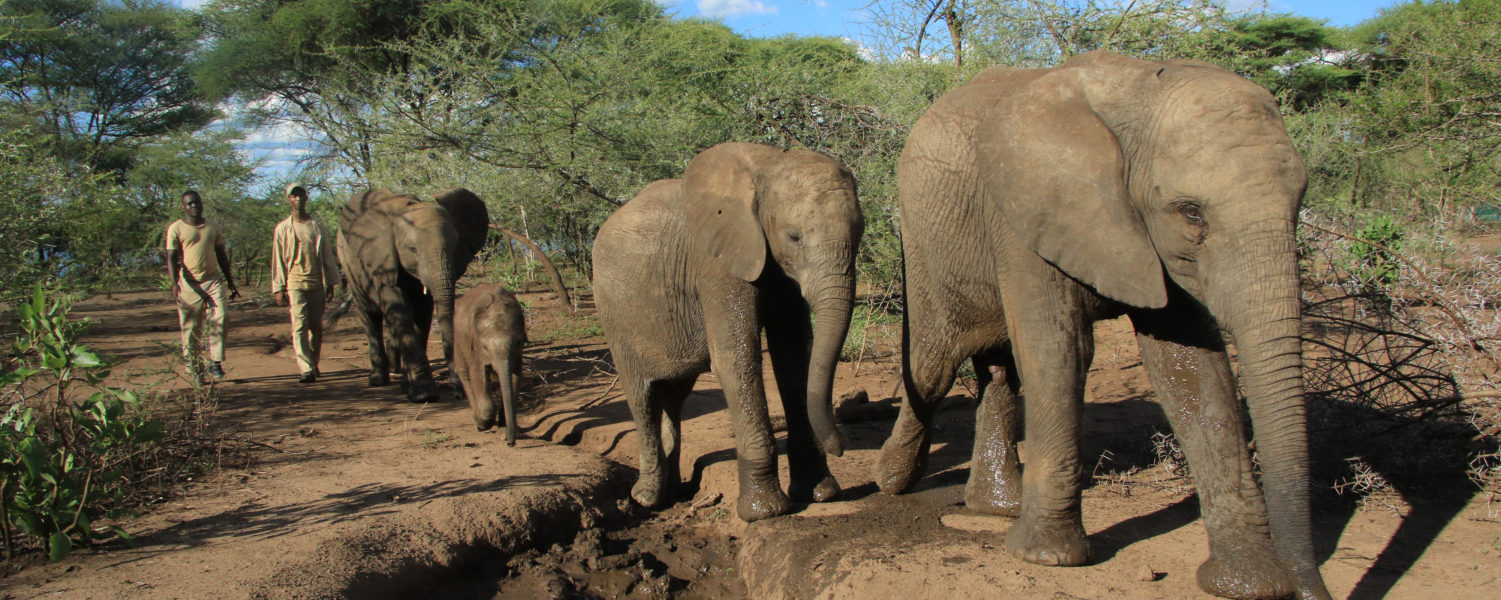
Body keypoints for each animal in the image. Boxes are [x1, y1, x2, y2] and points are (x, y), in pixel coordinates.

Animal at [337, 187, 489, 403]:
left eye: (455, 245)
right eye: (412, 249)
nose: (460, 394)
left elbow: (422, 313)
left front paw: (412, 389)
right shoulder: (383, 260)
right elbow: (399, 308)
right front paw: (424, 396)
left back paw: (401, 383)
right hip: (349, 268)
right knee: (369, 315)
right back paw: (377, 380)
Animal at [453, 282, 527, 445]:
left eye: (518, 343)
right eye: (485, 347)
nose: (511, 444)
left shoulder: (517, 354)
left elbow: (515, 377)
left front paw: (504, 432)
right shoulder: (475, 349)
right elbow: (478, 374)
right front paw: (486, 424)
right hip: (458, 341)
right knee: (464, 373)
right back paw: (478, 421)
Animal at [592, 142, 864, 522]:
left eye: (861, 235)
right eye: (793, 237)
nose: (840, 447)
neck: (769, 164)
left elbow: (795, 358)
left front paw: (821, 493)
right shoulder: (716, 263)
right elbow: (736, 359)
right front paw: (765, 512)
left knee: (673, 396)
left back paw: (674, 492)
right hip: (614, 315)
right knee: (642, 396)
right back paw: (647, 499)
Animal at [876, 51, 1330, 600]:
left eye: (1301, 199)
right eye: (1191, 213)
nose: (1308, 588)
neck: (1139, 90)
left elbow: (1191, 365)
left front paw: (1247, 582)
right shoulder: (1027, 213)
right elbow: (1060, 349)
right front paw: (1048, 558)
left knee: (998, 366)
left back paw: (998, 507)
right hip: (925, 237)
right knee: (934, 362)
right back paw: (891, 483)